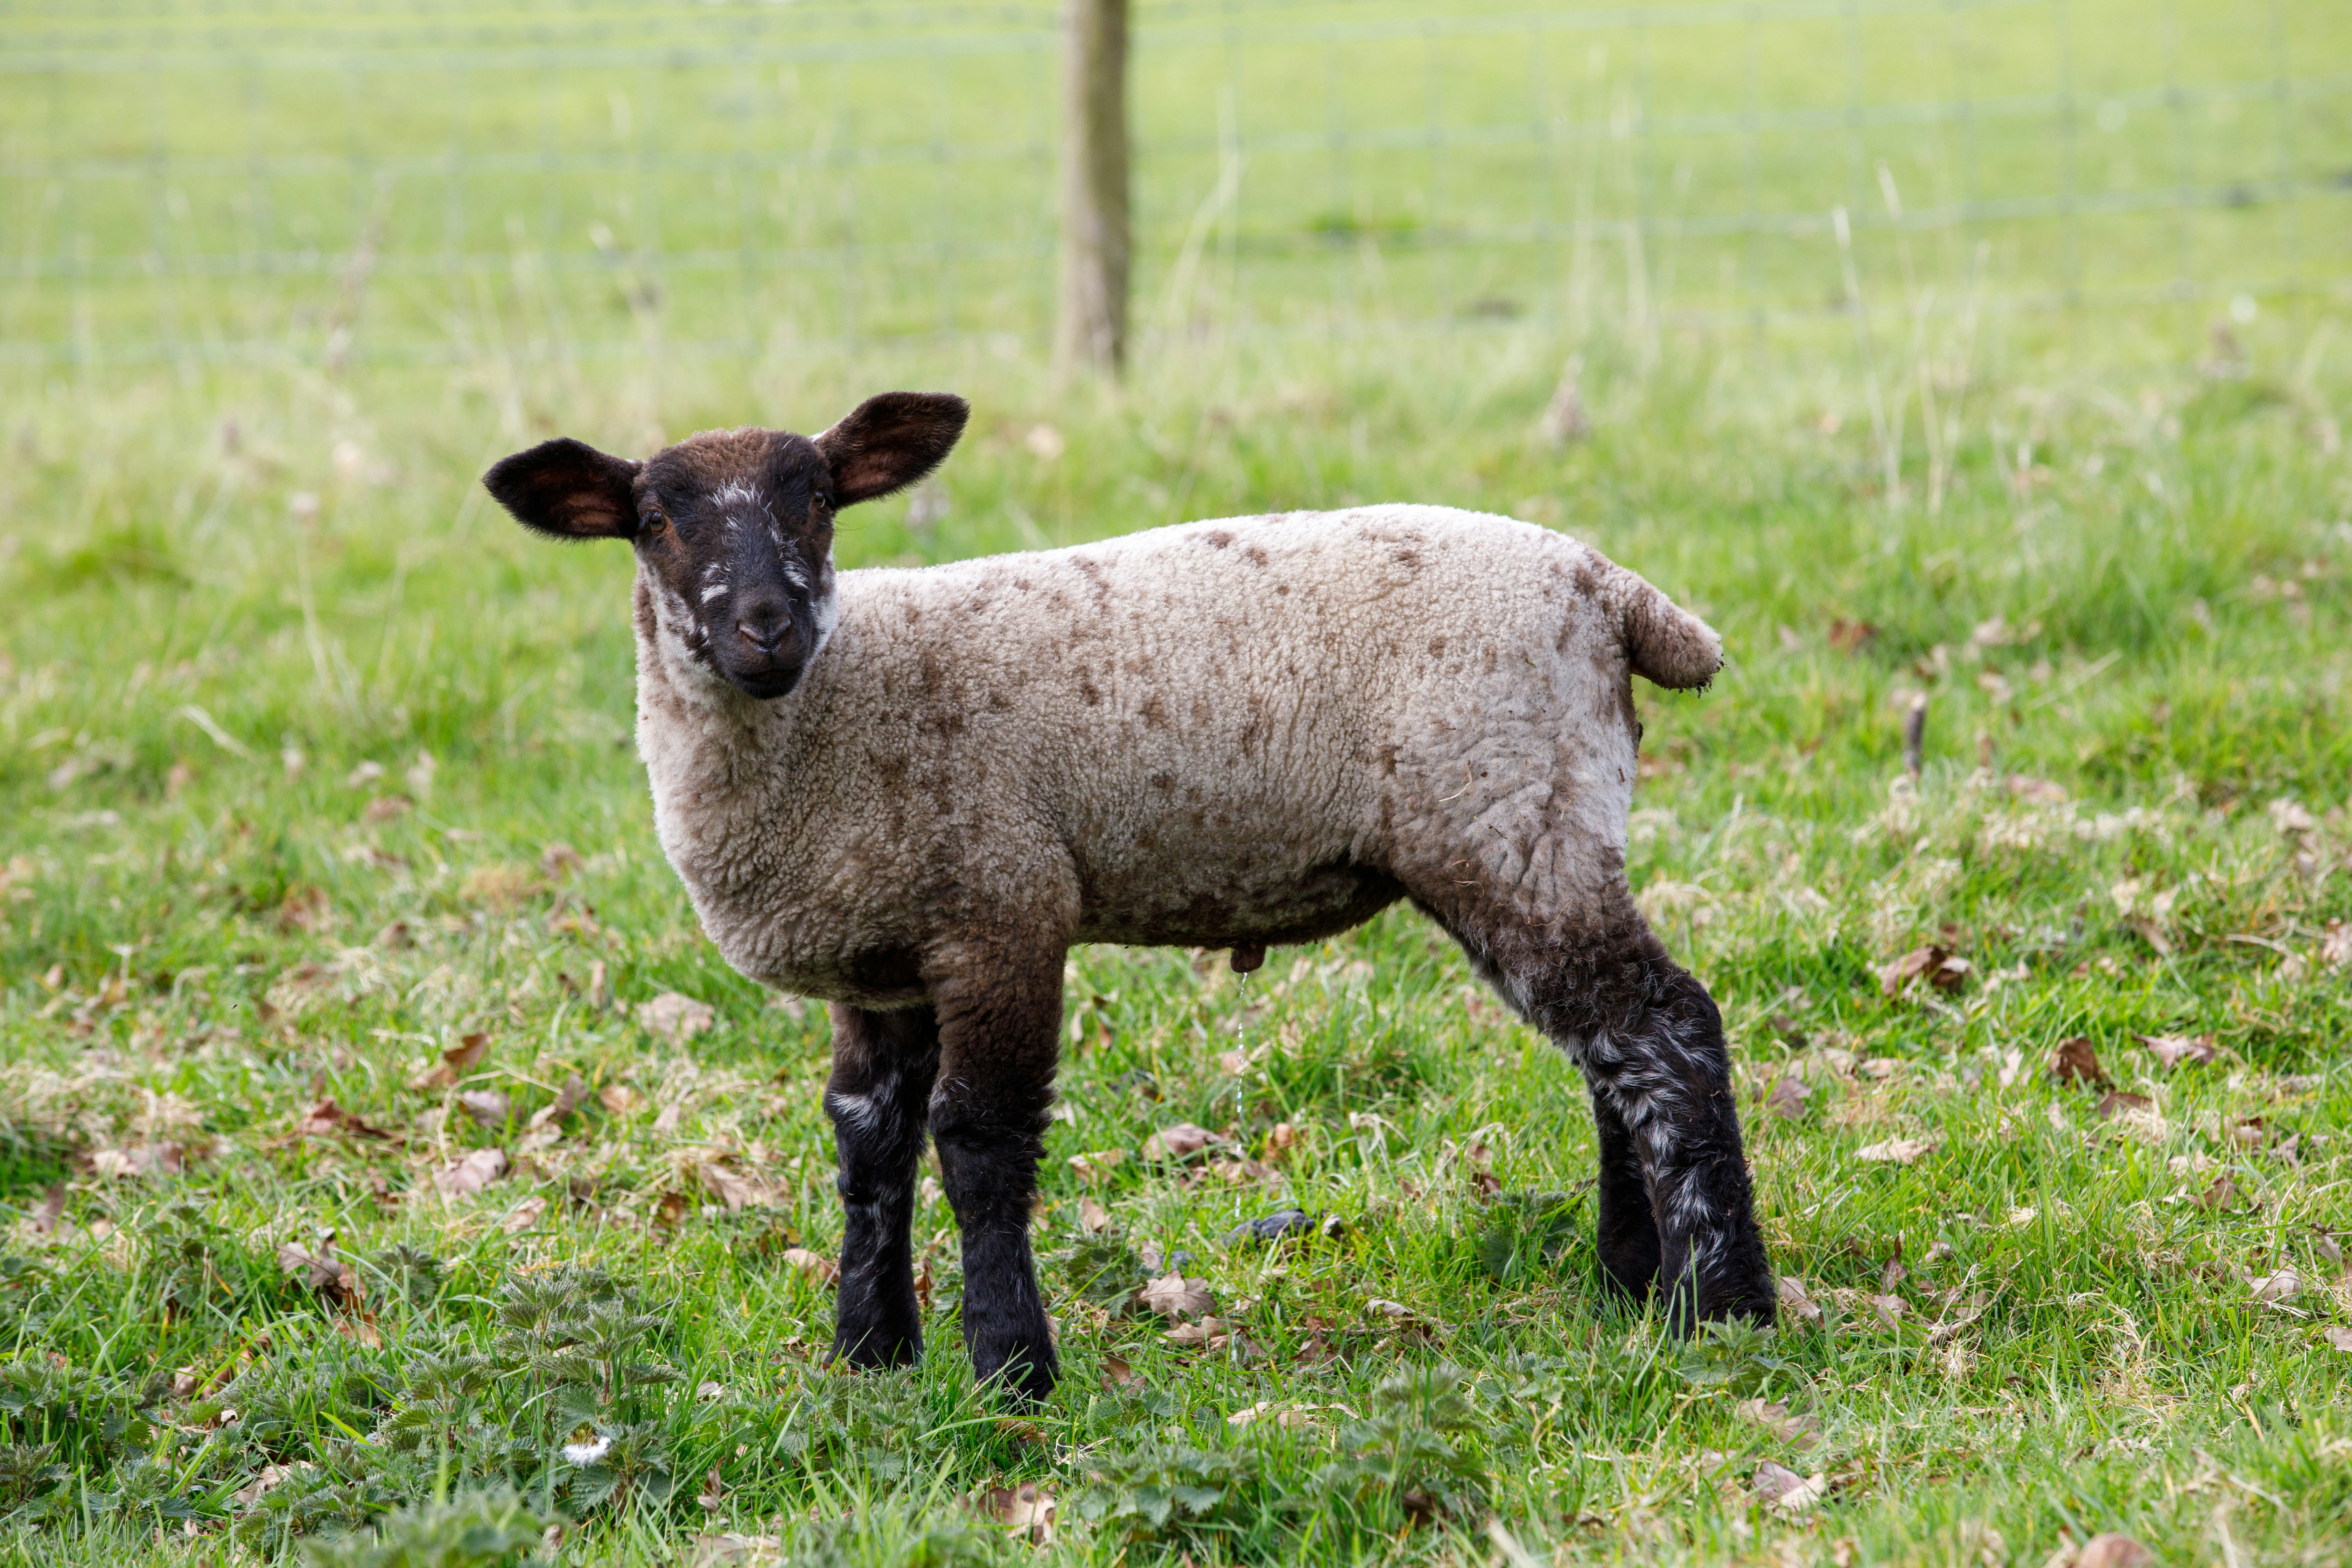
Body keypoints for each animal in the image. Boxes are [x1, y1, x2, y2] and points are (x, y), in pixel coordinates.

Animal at [483, 391, 1773, 1402]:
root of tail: (1612, 593)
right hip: (1544, 821)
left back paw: (1724, 1308)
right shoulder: (880, 958)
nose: (767, 628)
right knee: (1610, 1049)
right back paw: (1629, 1281)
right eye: (656, 519)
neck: (839, 707)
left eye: (819, 500)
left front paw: (1011, 1369)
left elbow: (977, 1139)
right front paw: (869, 1353)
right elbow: (868, 1143)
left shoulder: (1004, 907)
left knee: (1663, 1029)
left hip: (1503, 812)